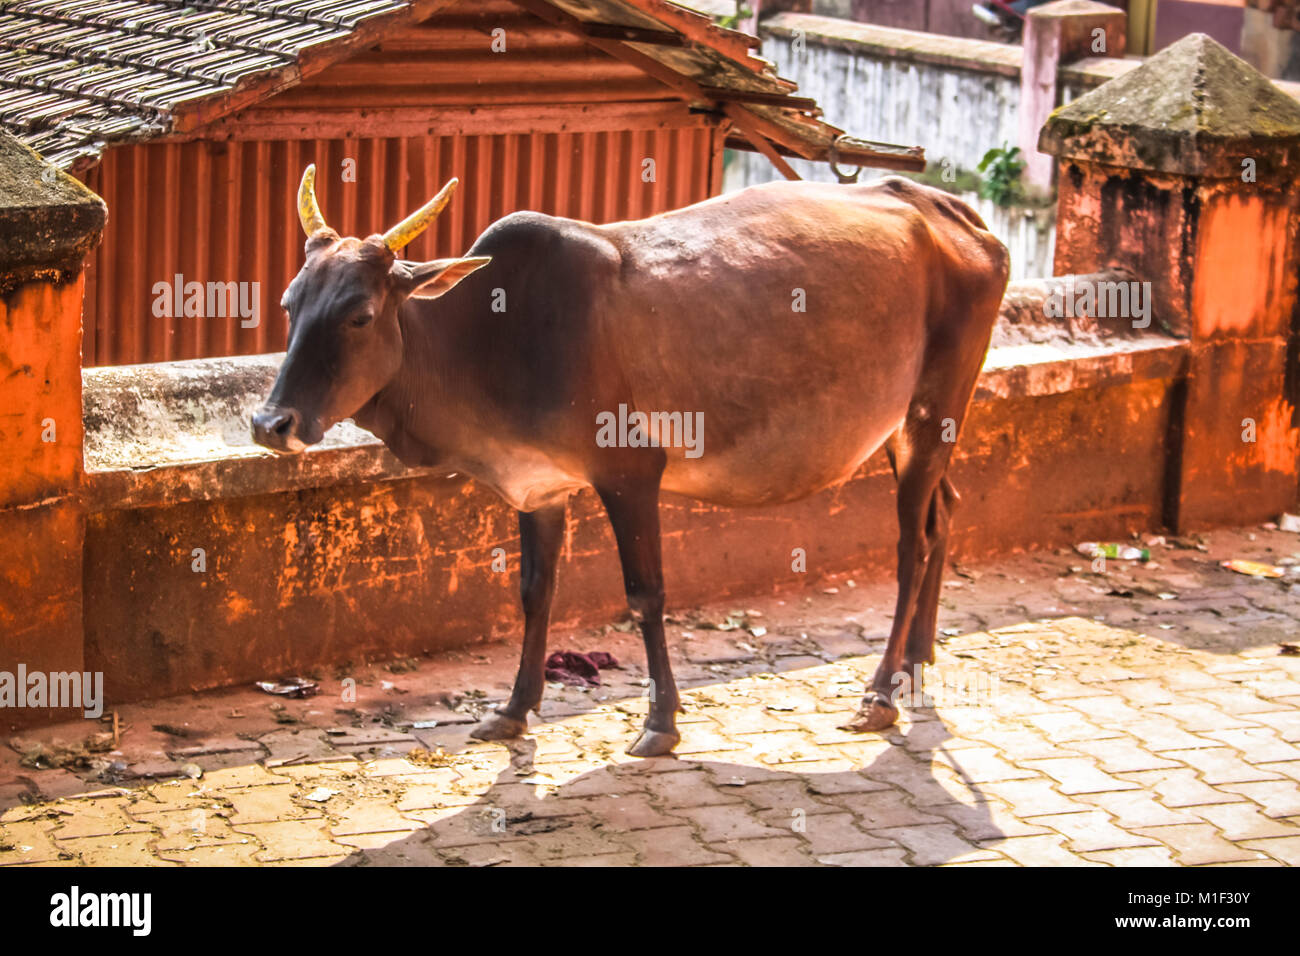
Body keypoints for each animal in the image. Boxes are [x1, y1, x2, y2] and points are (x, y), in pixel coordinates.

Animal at [252, 165, 1010, 757]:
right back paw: (917, 659)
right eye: (290, 303)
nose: (270, 422)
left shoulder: (631, 473)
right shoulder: (541, 486)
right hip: (909, 430)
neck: (495, 337)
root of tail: (953, 211)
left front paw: (661, 721)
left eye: (359, 315)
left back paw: (880, 692)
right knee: (945, 513)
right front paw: (513, 709)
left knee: (913, 543)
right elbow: (534, 592)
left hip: (933, 409)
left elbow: (646, 594)